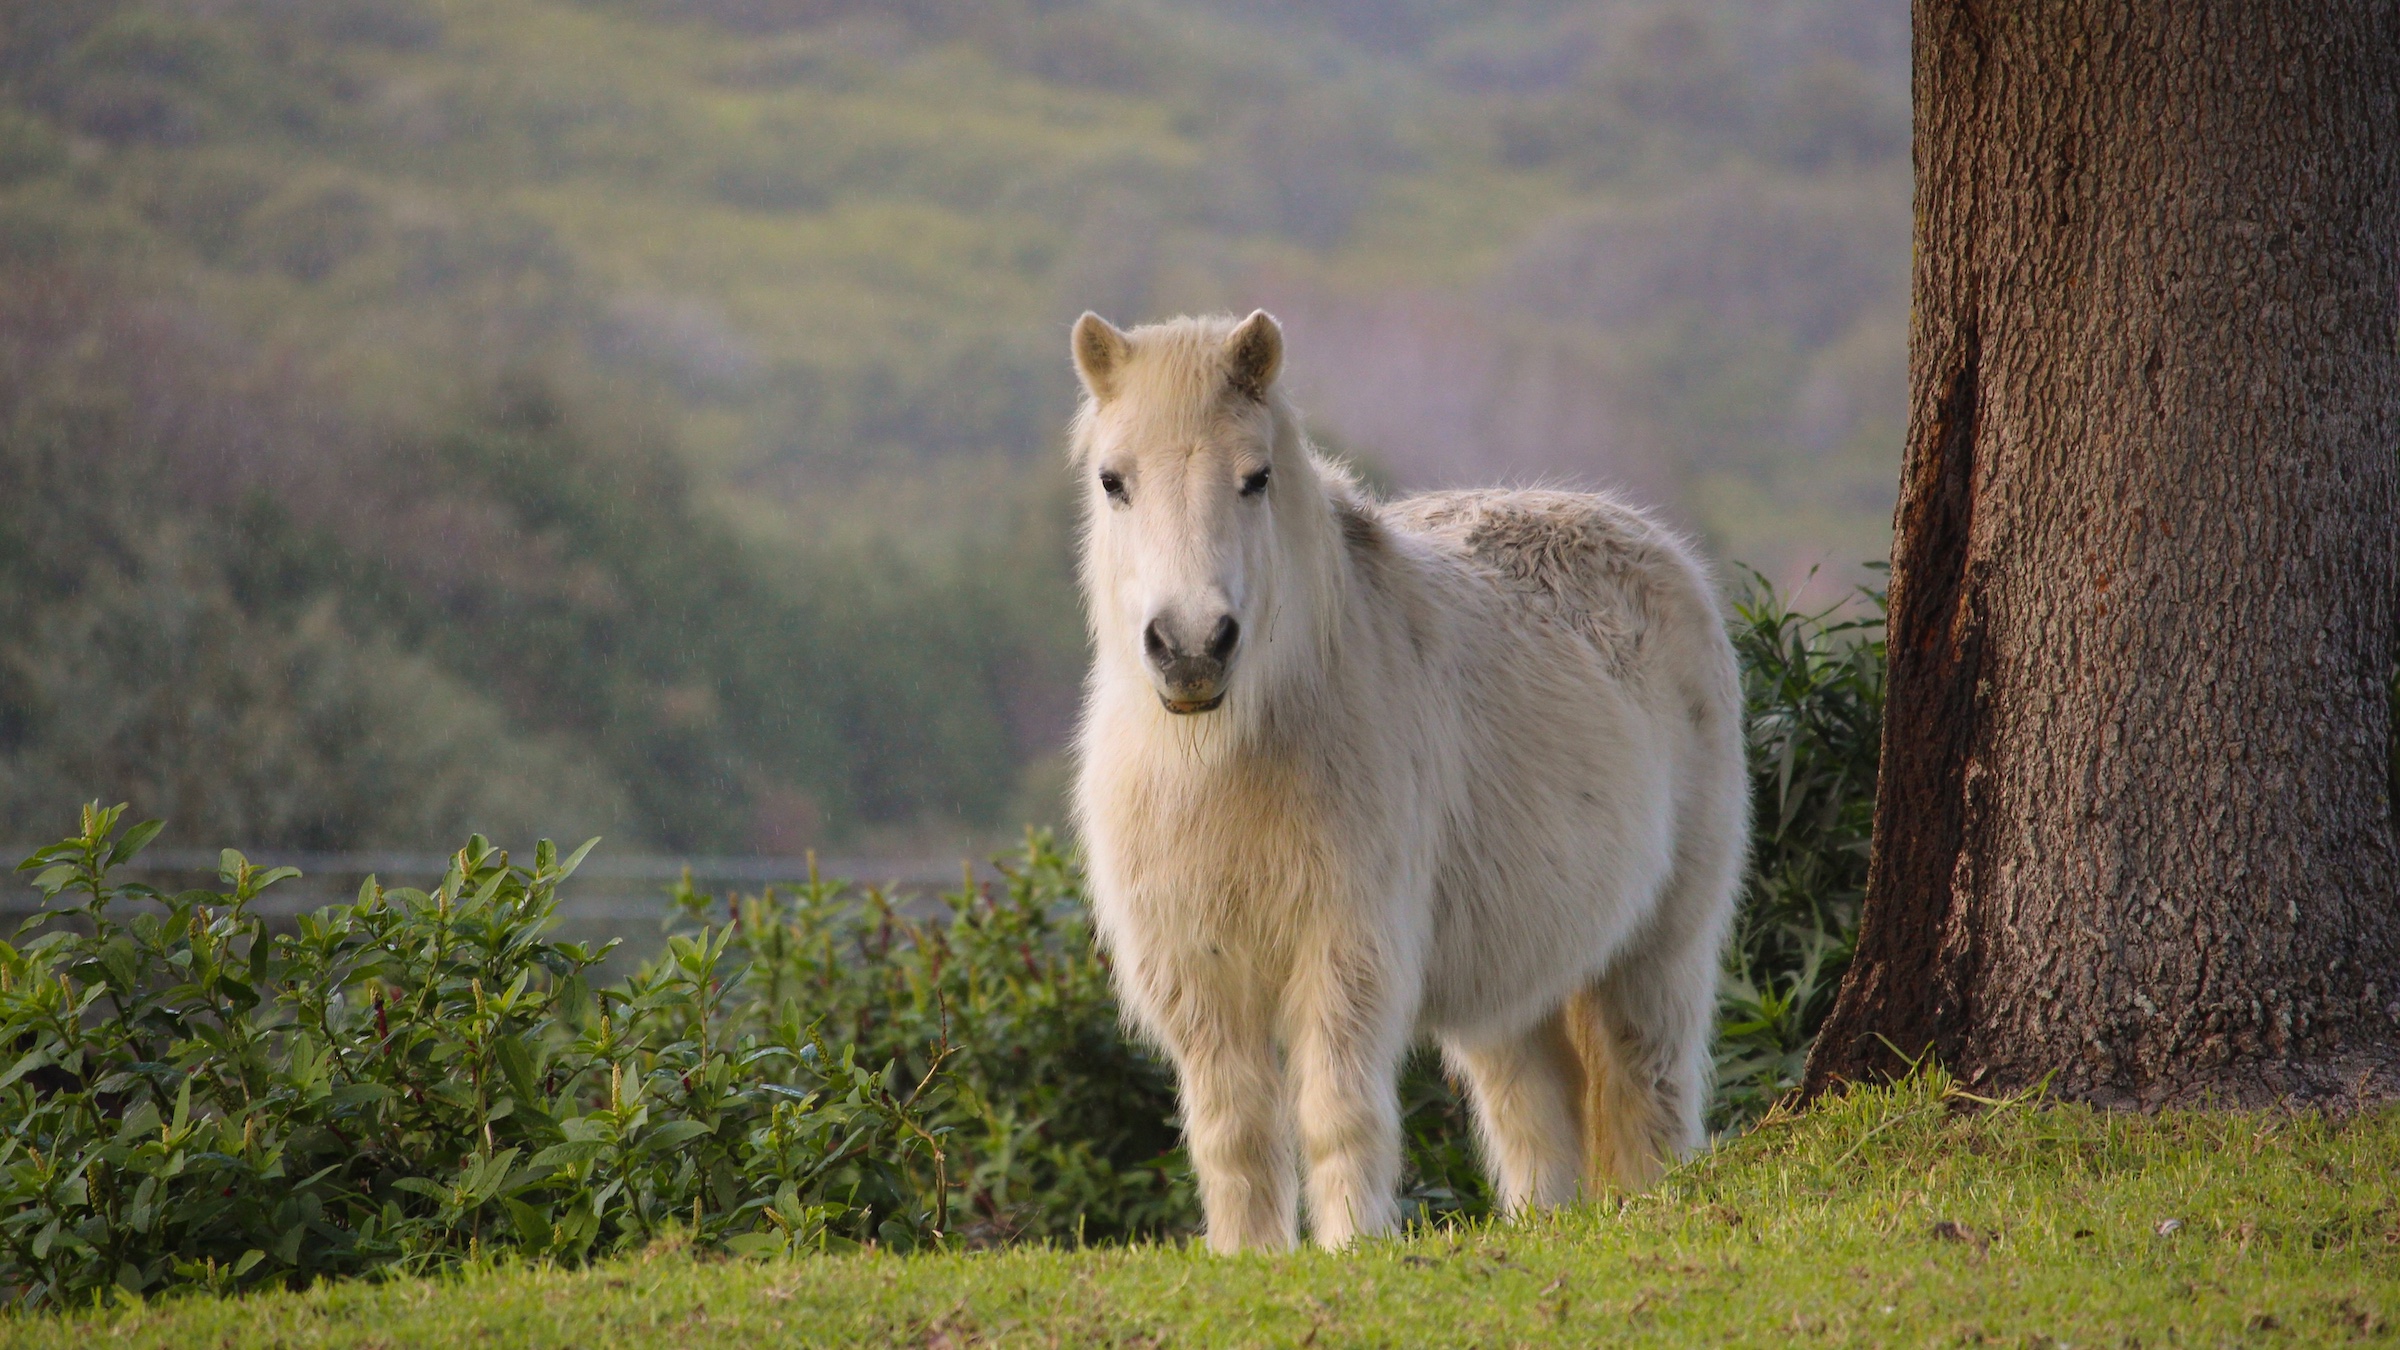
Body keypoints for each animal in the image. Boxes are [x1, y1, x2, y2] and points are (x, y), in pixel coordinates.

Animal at [1067, 309, 1747, 1251]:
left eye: (1256, 478)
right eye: (1113, 481)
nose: (1193, 648)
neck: (1228, 759)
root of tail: (1653, 544)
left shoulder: (1345, 951)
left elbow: (1336, 1113)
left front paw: (1353, 1246)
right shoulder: (1197, 975)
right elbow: (1233, 1134)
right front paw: (1250, 1256)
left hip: (1657, 952)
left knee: (1652, 1090)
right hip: (1514, 992)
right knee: (1536, 1118)